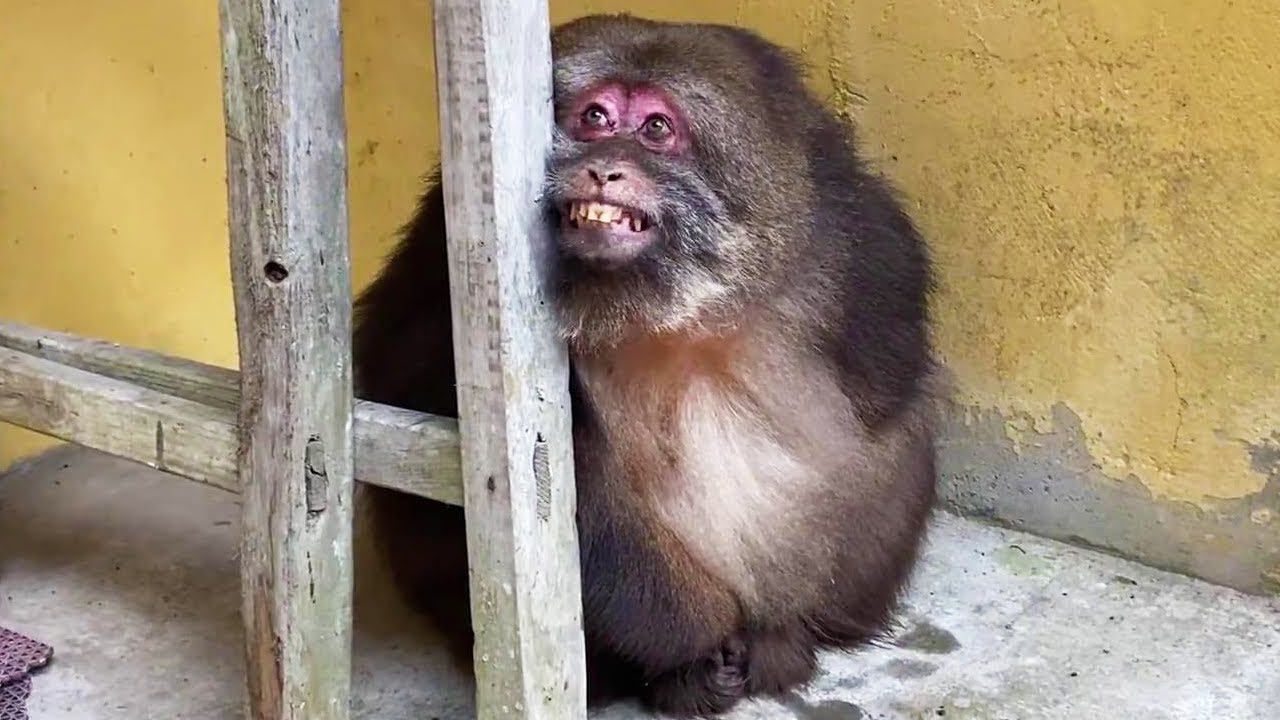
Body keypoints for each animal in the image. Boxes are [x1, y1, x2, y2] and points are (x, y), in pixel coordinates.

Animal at [352, 13, 938, 718]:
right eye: (594, 118)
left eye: (656, 129)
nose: (605, 170)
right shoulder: (442, 259)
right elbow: (416, 384)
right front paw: (685, 647)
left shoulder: (848, 229)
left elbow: (891, 370)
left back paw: (782, 636)